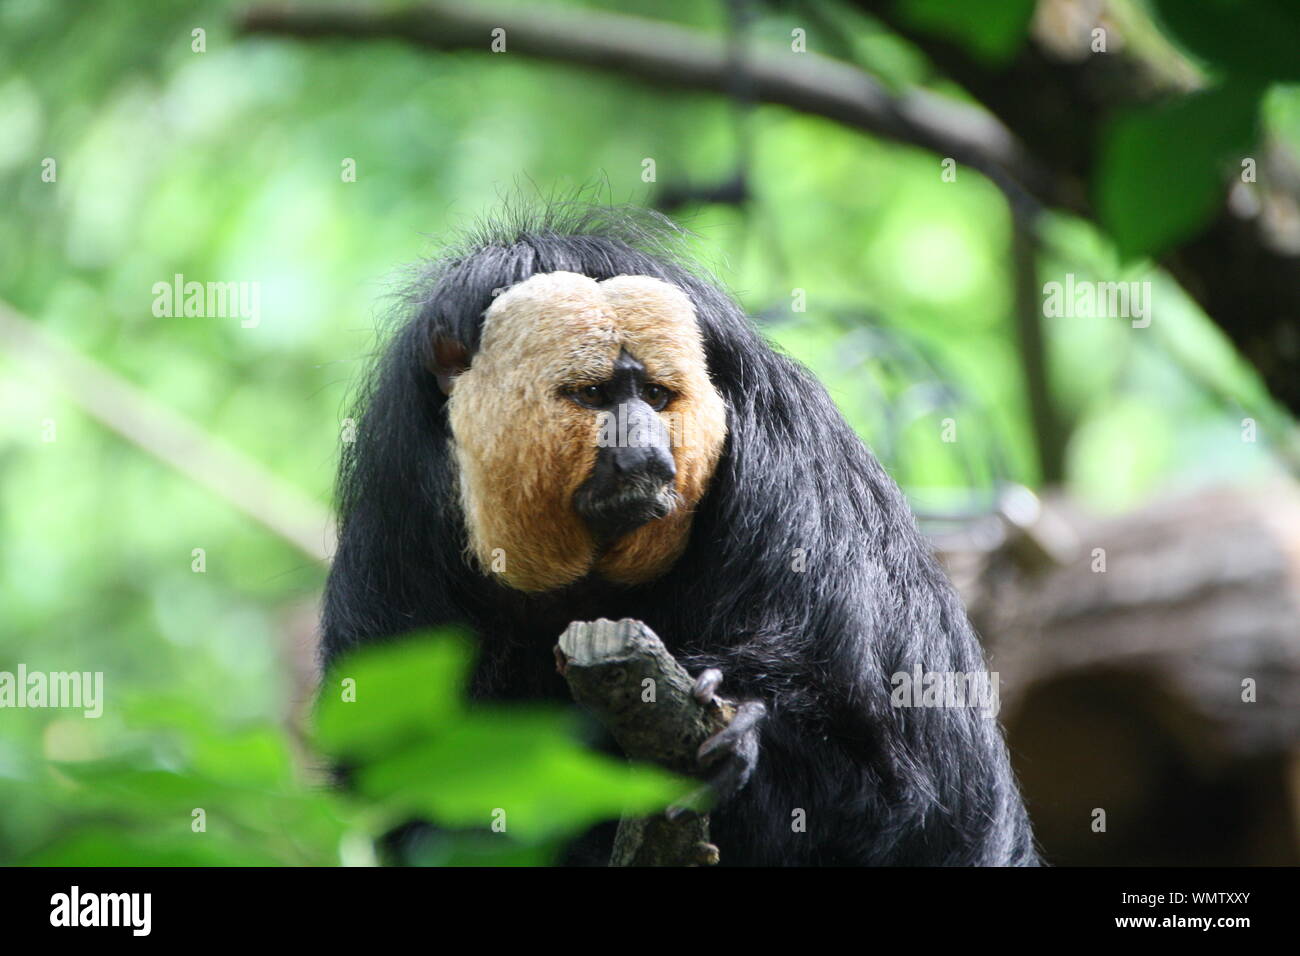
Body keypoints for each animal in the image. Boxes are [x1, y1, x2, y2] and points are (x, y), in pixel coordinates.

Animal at [322, 202, 1039, 866]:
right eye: (594, 394)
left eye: (658, 396)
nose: (645, 454)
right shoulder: (397, 522)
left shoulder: (799, 473)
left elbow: (909, 797)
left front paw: (739, 735)